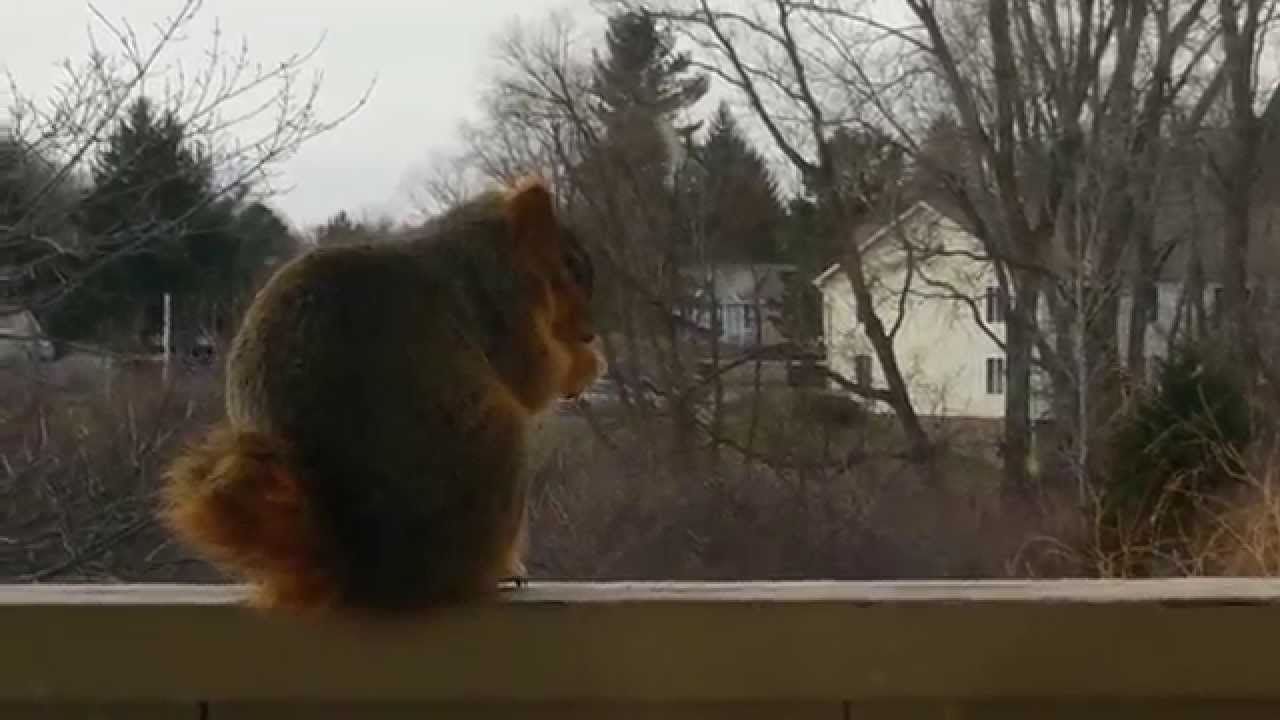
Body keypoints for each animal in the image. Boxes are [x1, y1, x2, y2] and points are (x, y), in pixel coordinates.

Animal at [160, 178, 604, 615]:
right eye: (570, 266)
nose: (590, 329)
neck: (487, 245)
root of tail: (362, 568)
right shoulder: (499, 308)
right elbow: (536, 375)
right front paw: (586, 363)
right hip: (494, 451)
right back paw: (500, 571)